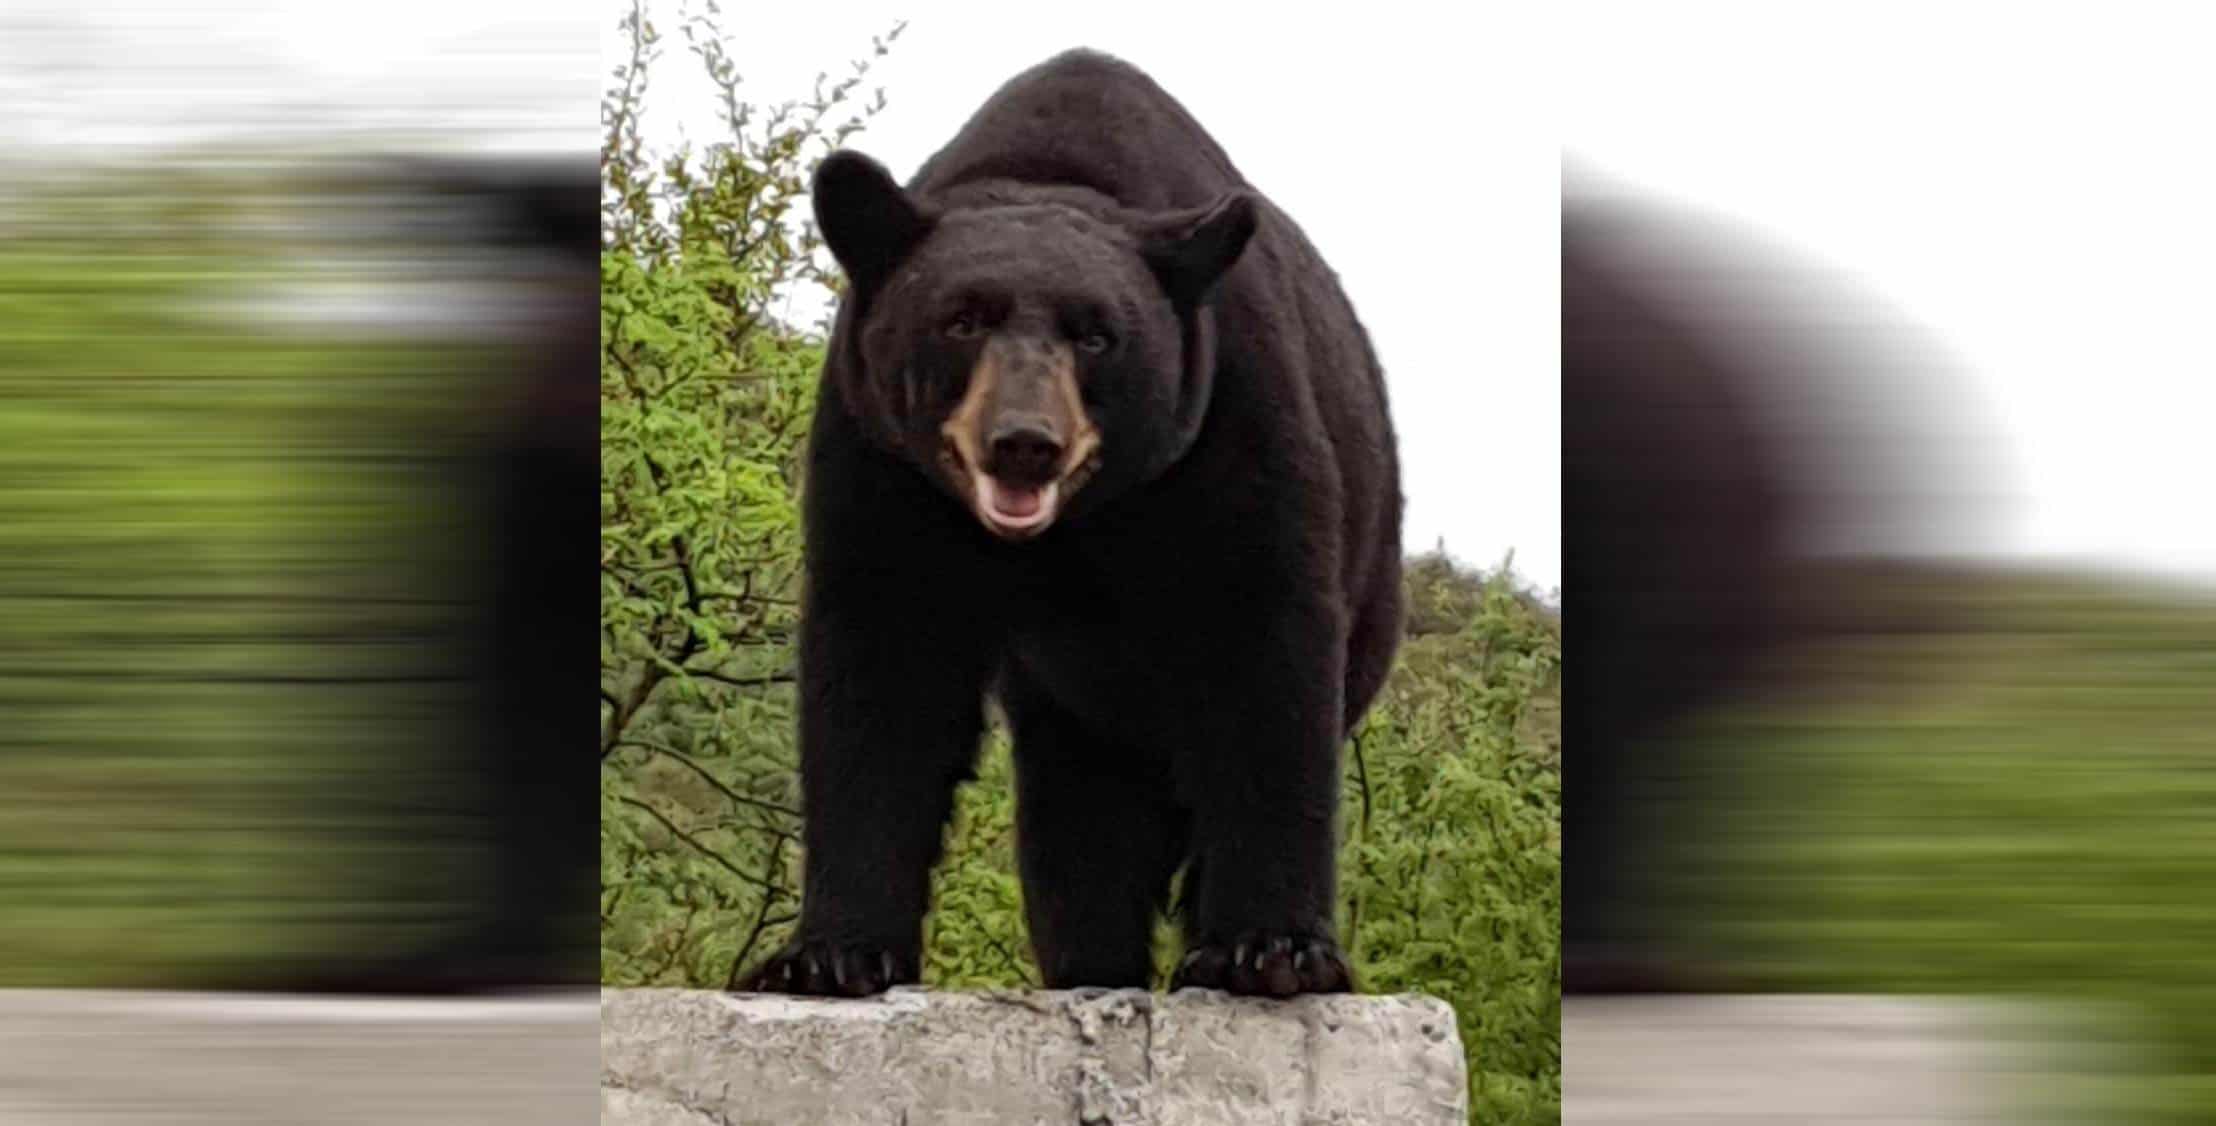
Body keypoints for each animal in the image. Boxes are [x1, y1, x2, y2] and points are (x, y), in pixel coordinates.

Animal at [736, 48, 1403, 998]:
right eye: (962, 318)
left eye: (1097, 336)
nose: (1024, 443)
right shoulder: (880, 463)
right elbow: (882, 670)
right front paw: (828, 954)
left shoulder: (1234, 422)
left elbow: (1263, 657)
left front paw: (1270, 950)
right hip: (1070, 703)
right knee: (1077, 829)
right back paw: (1095, 966)